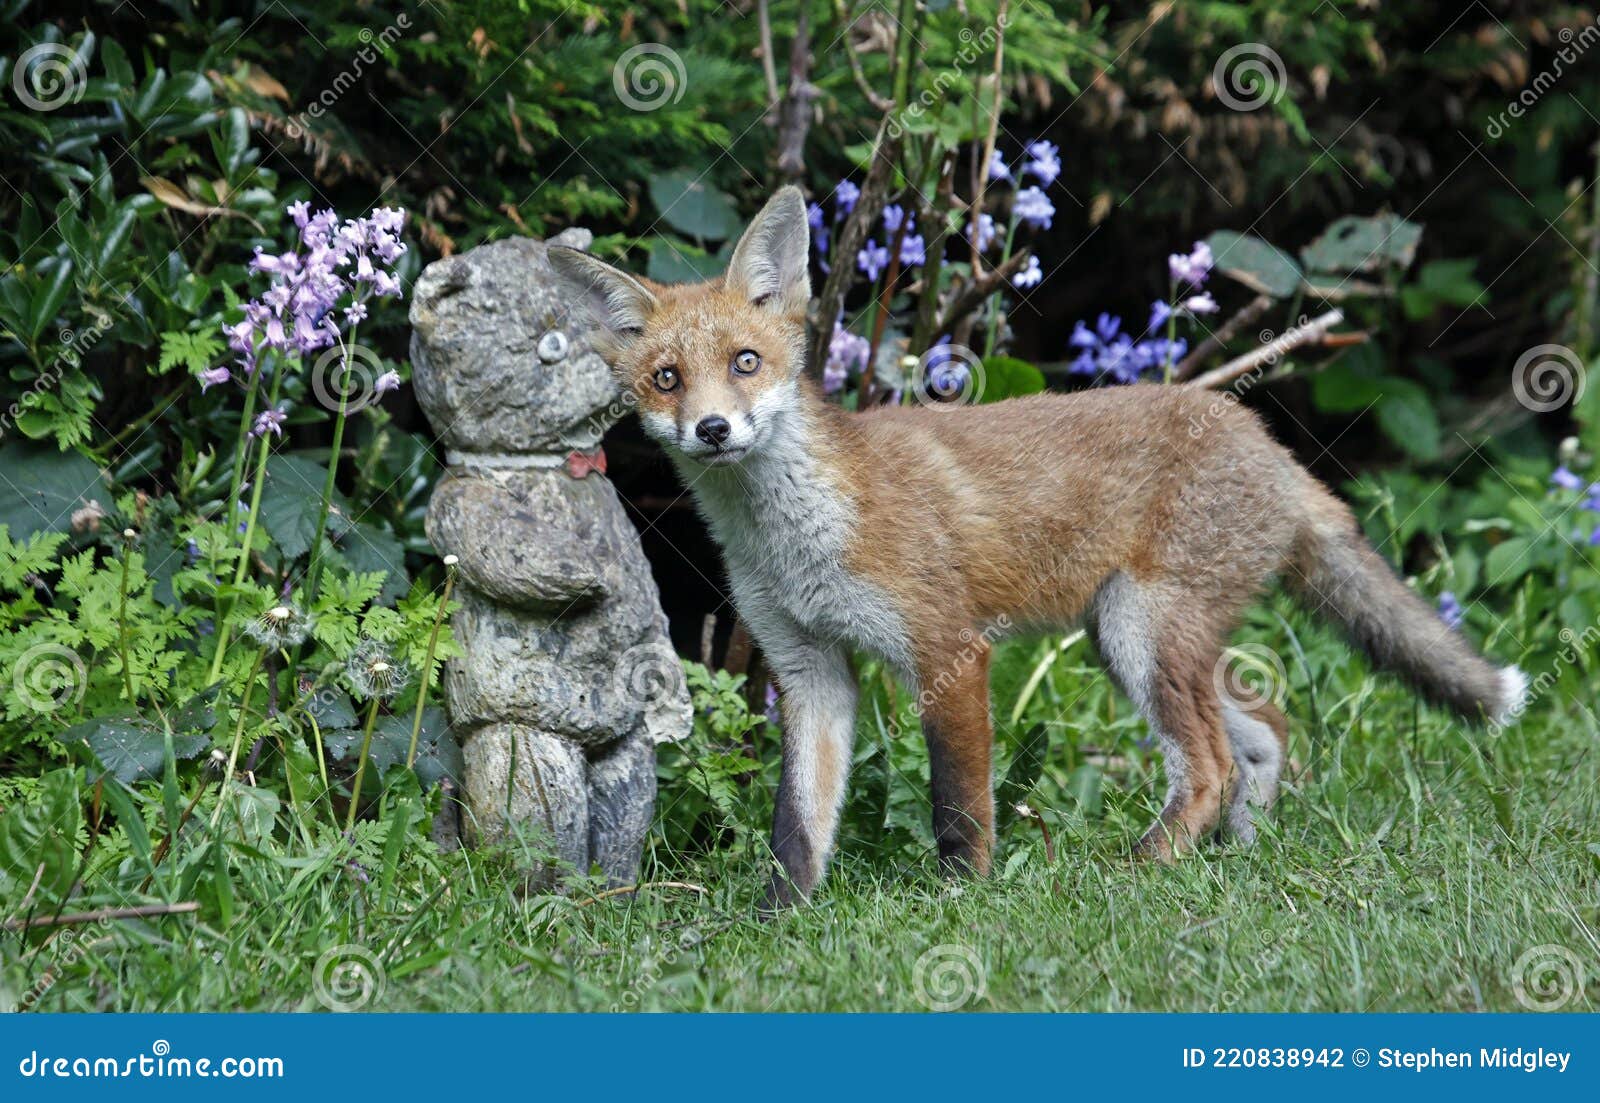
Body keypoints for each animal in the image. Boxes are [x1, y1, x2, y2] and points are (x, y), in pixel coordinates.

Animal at [550, 186, 1528, 909]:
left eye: (745, 363)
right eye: (667, 379)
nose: (714, 430)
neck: (796, 538)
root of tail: (1271, 445)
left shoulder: (948, 649)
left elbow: (960, 805)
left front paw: (962, 903)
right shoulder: (808, 667)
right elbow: (799, 824)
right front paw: (777, 919)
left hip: (1140, 632)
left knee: (1210, 763)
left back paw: (1142, 868)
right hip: (1130, 640)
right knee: (1264, 731)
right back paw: (1242, 854)